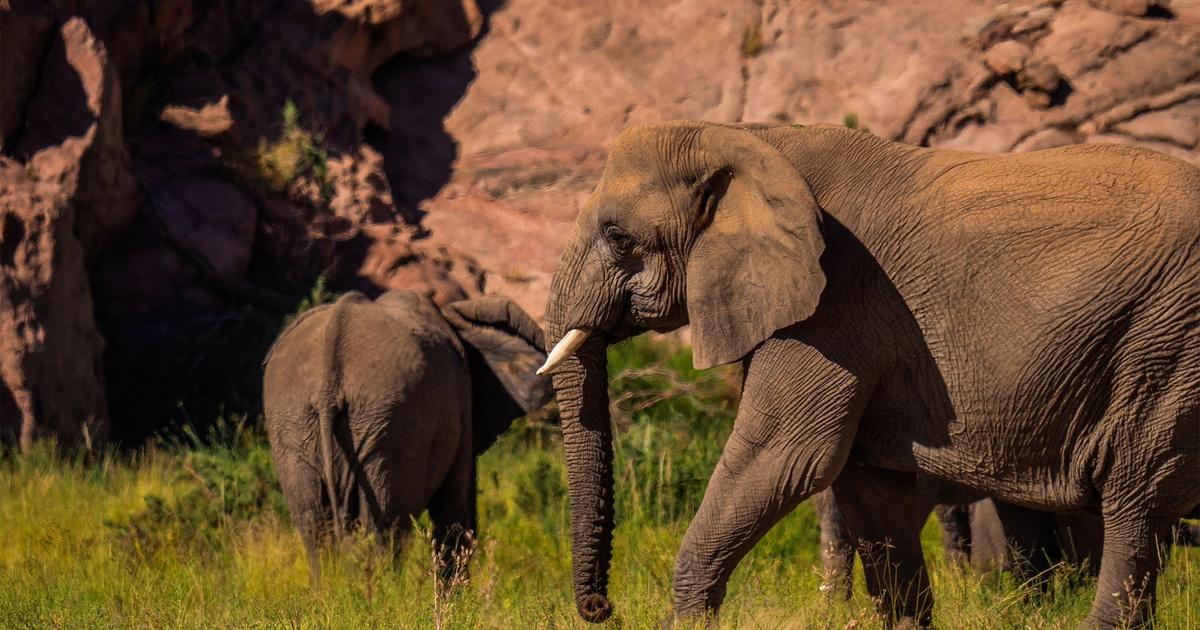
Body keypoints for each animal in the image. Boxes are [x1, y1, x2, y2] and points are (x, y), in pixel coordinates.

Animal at [262, 290, 552, 578]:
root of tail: (327, 386)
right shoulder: (462, 406)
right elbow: (454, 511)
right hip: (390, 427)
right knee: (382, 528)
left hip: (298, 424)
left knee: (316, 528)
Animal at [536, 120, 1199, 627]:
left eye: (618, 237)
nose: (601, 609)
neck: (747, 138)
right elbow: (868, 481)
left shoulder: (835, 305)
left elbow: (786, 457)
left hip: (1166, 347)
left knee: (1135, 498)